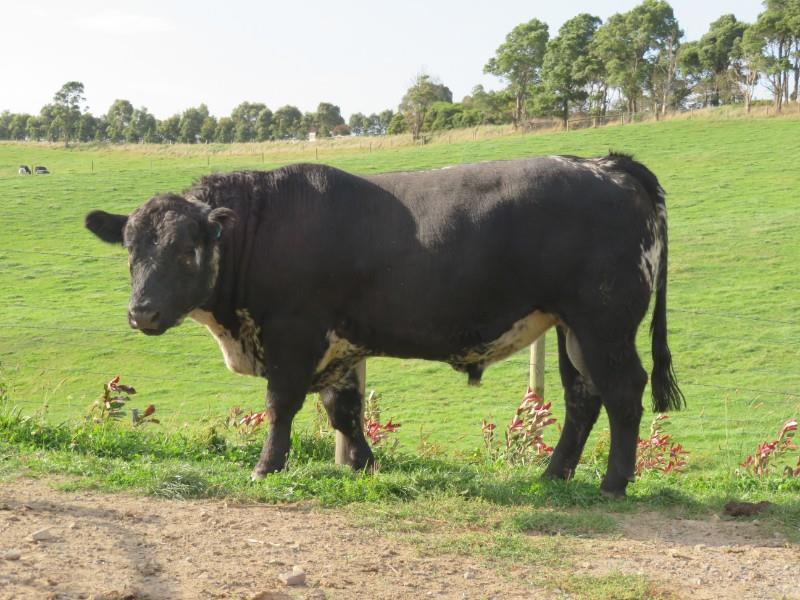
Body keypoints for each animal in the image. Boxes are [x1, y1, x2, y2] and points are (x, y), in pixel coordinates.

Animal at [85, 153, 683, 496]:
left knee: (623, 393)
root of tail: (608, 164)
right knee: (584, 397)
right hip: (571, 328)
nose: (141, 312)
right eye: (132, 251)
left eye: (186, 251)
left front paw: (266, 467)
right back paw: (553, 476)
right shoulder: (341, 343)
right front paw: (366, 466)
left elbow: (282, 405)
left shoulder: (295, 332)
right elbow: (343, 412)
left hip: (604, 323)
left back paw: (613, 483)